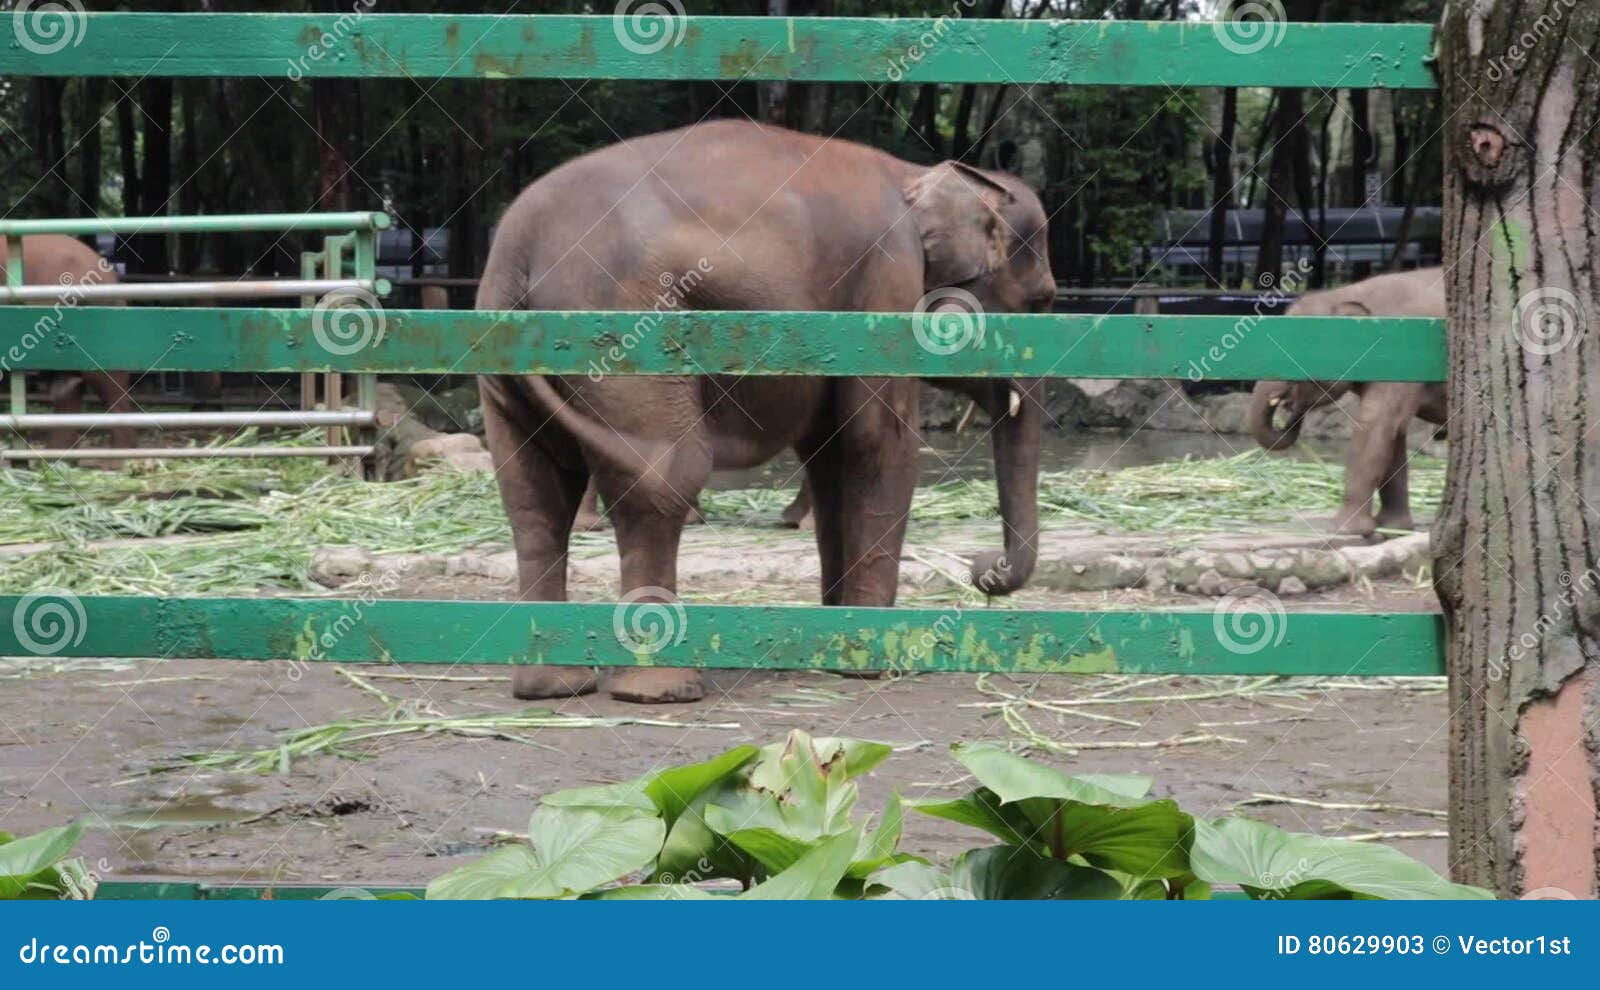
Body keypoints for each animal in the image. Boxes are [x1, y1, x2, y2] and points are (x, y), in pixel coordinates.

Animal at [476, 120, 1054, 704]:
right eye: (1043, 302)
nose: (985, 569)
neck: (918, 175)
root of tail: (518, 251)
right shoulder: (886, 280)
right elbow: (877, 441)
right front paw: (874, 664)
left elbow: (831, 453)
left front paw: (836, 645)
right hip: (625, 335)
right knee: (665, 478)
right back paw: (662, 689)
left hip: (506, 364)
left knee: (534, 494)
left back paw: (551, 686)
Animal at [1248, 267, 1447, 537]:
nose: (1290, 411)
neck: (1343, 293)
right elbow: (1394, 433)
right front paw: (1392, 527)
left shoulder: (1403, 361)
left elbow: (1375, 424)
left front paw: (1343, 530)